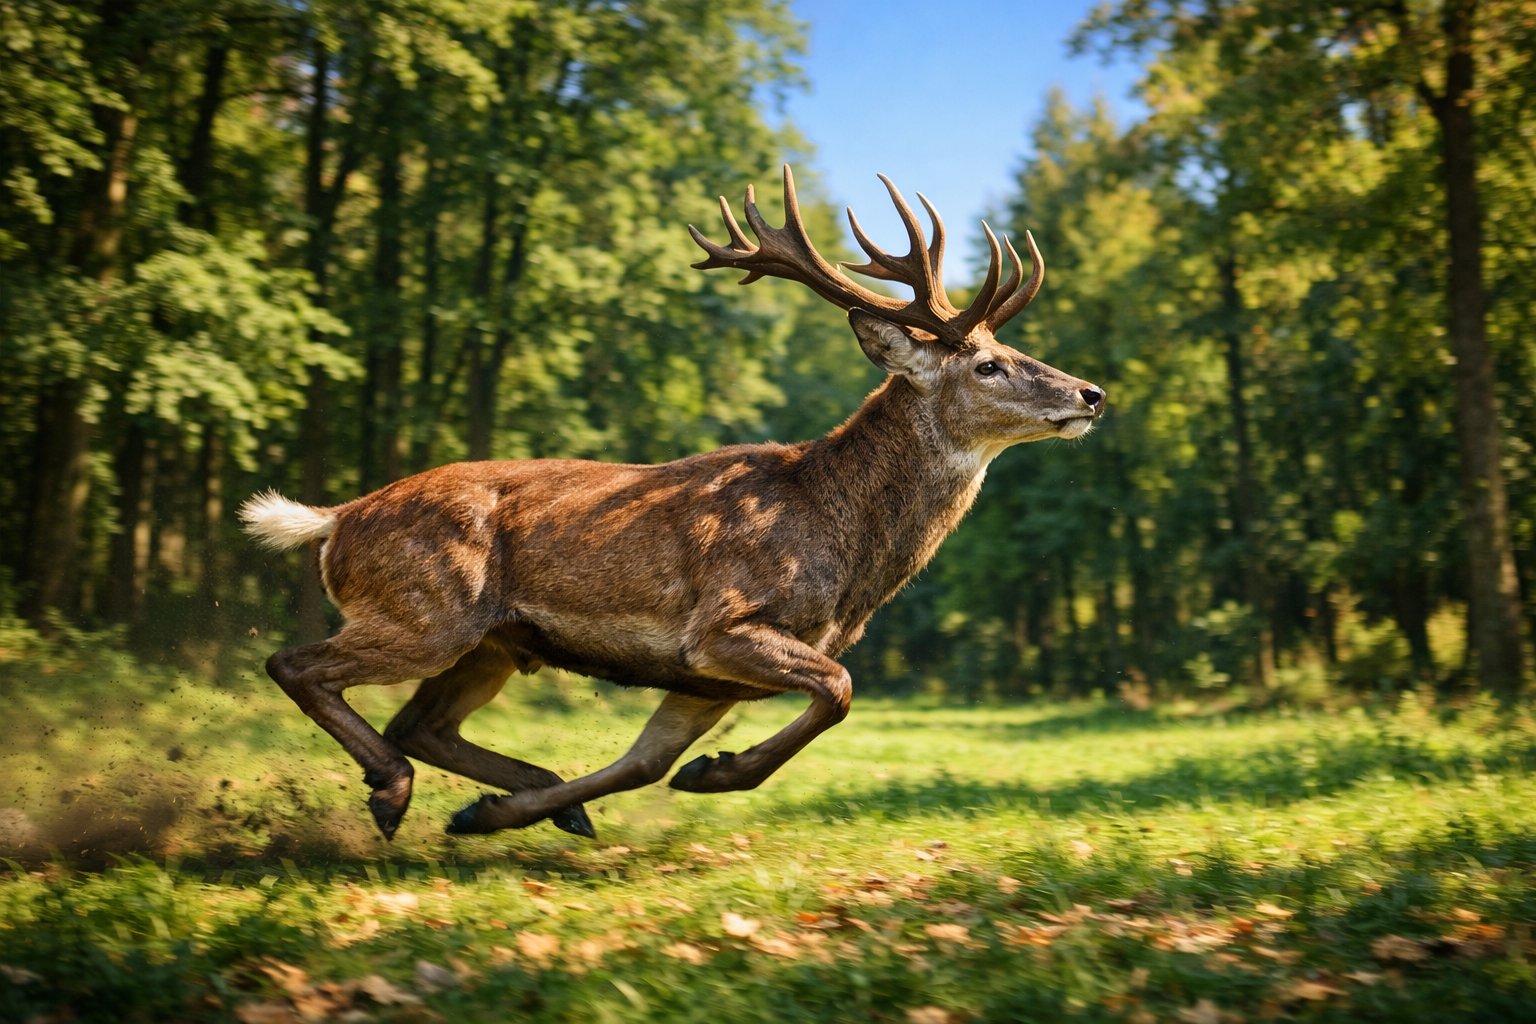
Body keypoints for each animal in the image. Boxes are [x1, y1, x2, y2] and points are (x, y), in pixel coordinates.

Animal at [239, 166, 1105, 842]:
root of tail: (337, 520)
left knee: (418, 721)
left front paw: (502, 814)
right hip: (428, 612)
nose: (1090, 393)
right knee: (296, 664)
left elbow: (645, 762)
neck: (845, 542)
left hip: (490, 642)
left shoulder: (703, 677)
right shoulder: (721, 626)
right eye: (988, 365)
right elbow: (839, 688)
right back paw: (393, 791)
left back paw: (519, 795)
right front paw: (716, 773)